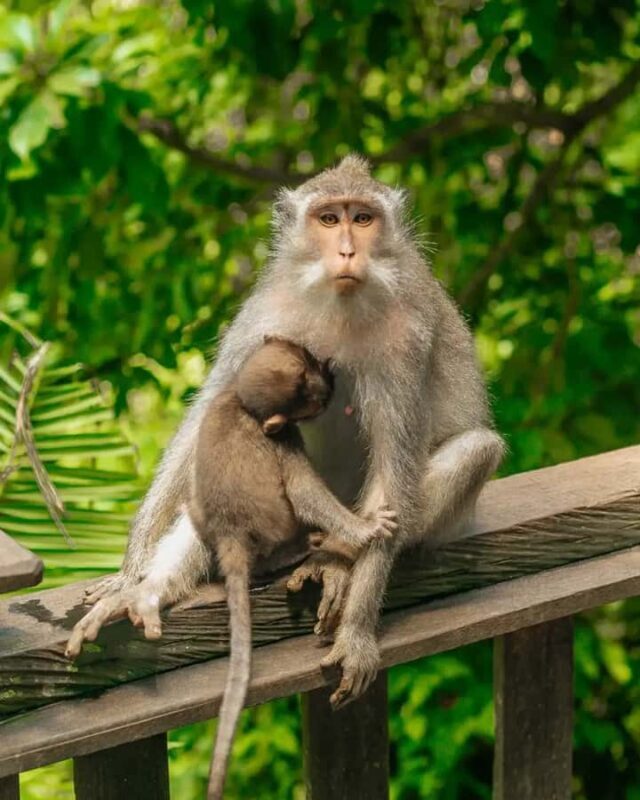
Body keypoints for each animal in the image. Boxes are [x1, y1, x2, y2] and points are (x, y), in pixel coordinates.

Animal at [68, 154, 505, 711]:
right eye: (328, 219)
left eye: (363, 218)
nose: (347, 250)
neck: (340, 304)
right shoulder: (262, 318)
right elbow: (208, 420)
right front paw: (131, 572)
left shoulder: (407, 343)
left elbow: (394, 473)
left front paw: (357, 632)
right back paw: (150, 591)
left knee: (476, 449)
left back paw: (334, 561)